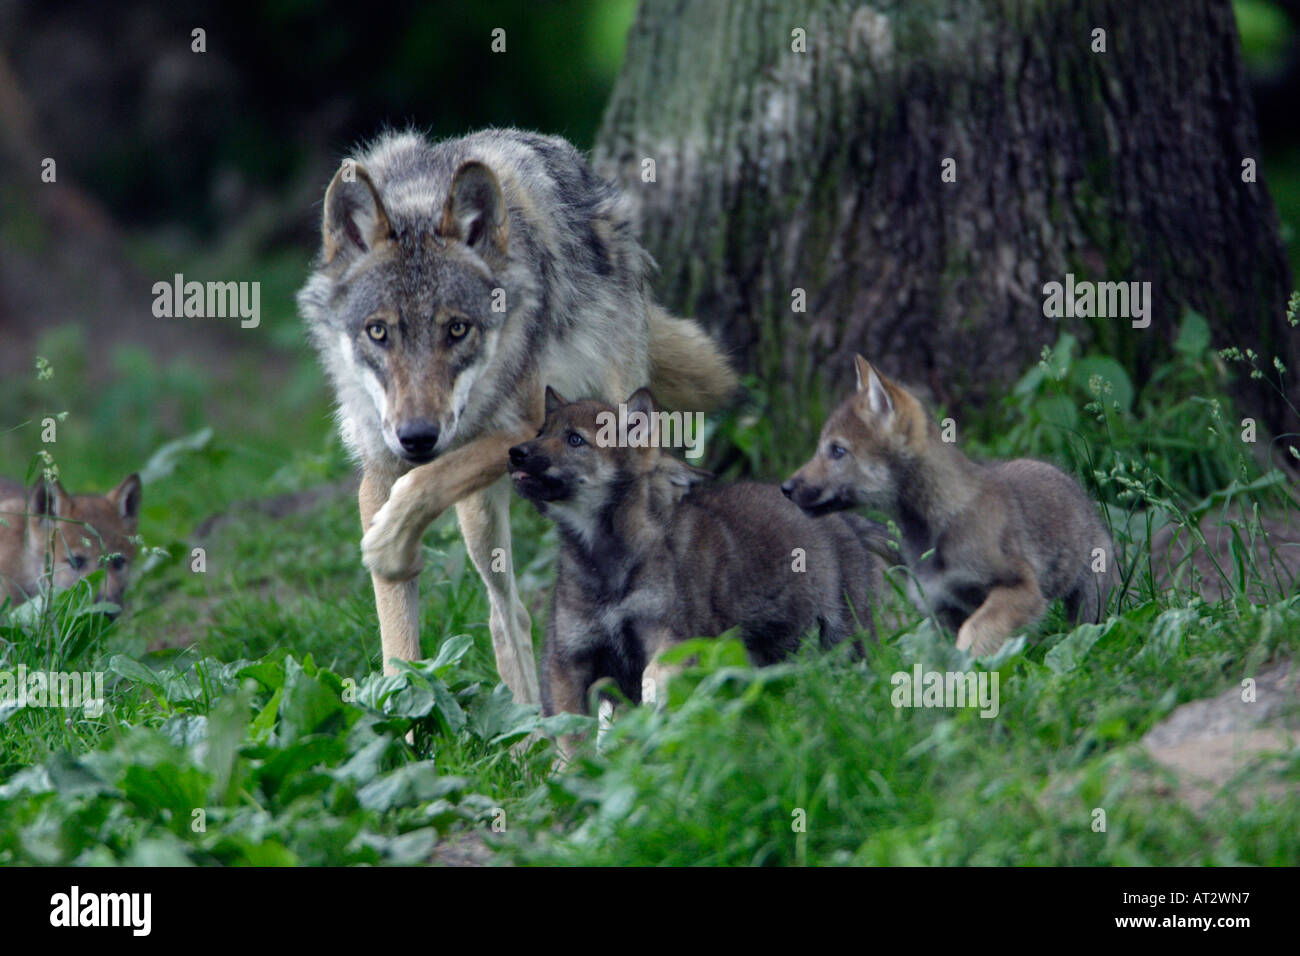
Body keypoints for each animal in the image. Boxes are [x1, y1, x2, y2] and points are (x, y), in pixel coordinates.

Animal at [297, 128, 737, 704]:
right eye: (378, 331)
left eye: (457, 329)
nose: (417, 438)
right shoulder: (379, 466)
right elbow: (398, 638)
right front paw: (403, 714)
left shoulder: (526, 426)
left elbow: (424, 485)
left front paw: (390, 544)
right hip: (481, 521)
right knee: (507, 619)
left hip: (616, 413)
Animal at [509, 387, 889, 717]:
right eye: (541, 432)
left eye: (575, 440)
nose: (515, 453)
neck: (604, 557)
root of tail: (846, 521)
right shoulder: (569, 659)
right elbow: (570, 732)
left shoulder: (671, 633)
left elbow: (654, 675)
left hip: (846, 635)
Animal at [783, 356, 1114, 656]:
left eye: (837, 450)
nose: (785, 488)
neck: (936, 526)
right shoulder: (942, 608)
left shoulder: (1022, 589)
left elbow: (976, 631)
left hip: (1090, 600)